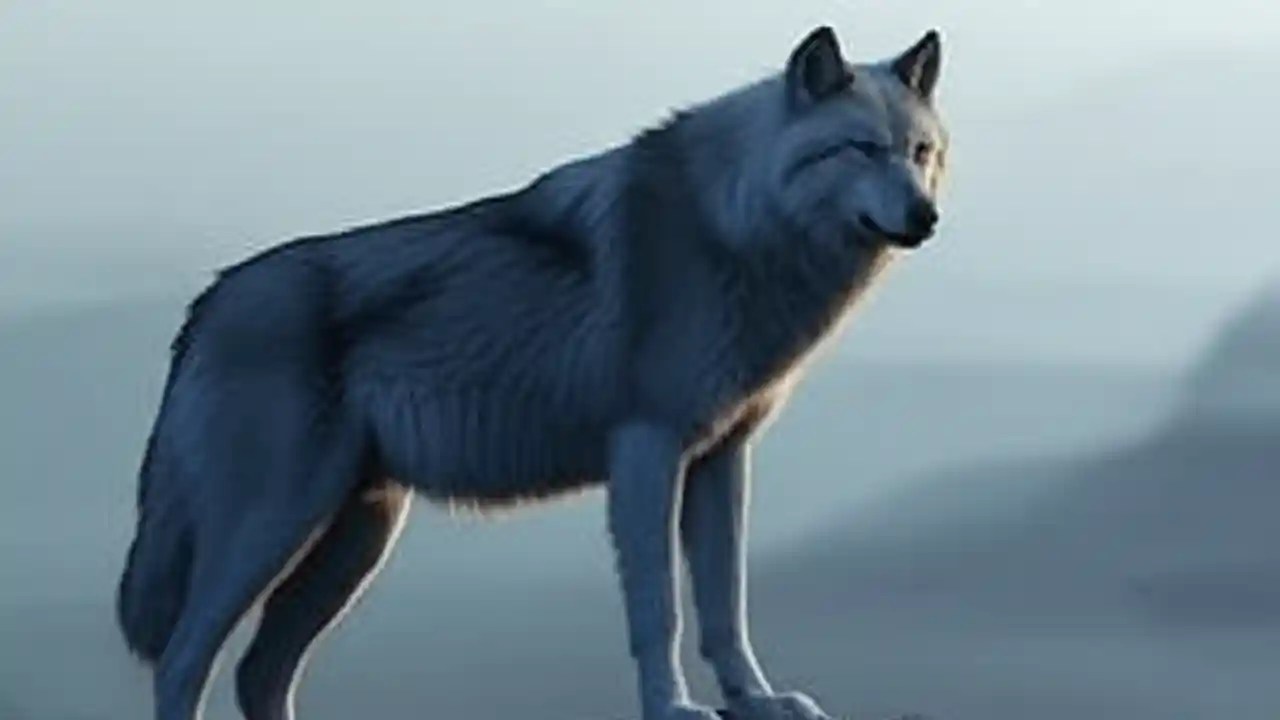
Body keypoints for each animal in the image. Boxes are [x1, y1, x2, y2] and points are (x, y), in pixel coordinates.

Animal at [116, 25, 948, 720]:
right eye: (861, 148)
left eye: (920, 152)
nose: (926, 217)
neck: (734, 222)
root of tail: (206, 302)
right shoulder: (647, 449)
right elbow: (659, 609)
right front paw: (673, 708)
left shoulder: (722, 457)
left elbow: (726, 607)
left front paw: (757, 702)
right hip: (272, 527)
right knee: (184, 660)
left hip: (355, 539)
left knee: (261, 671)